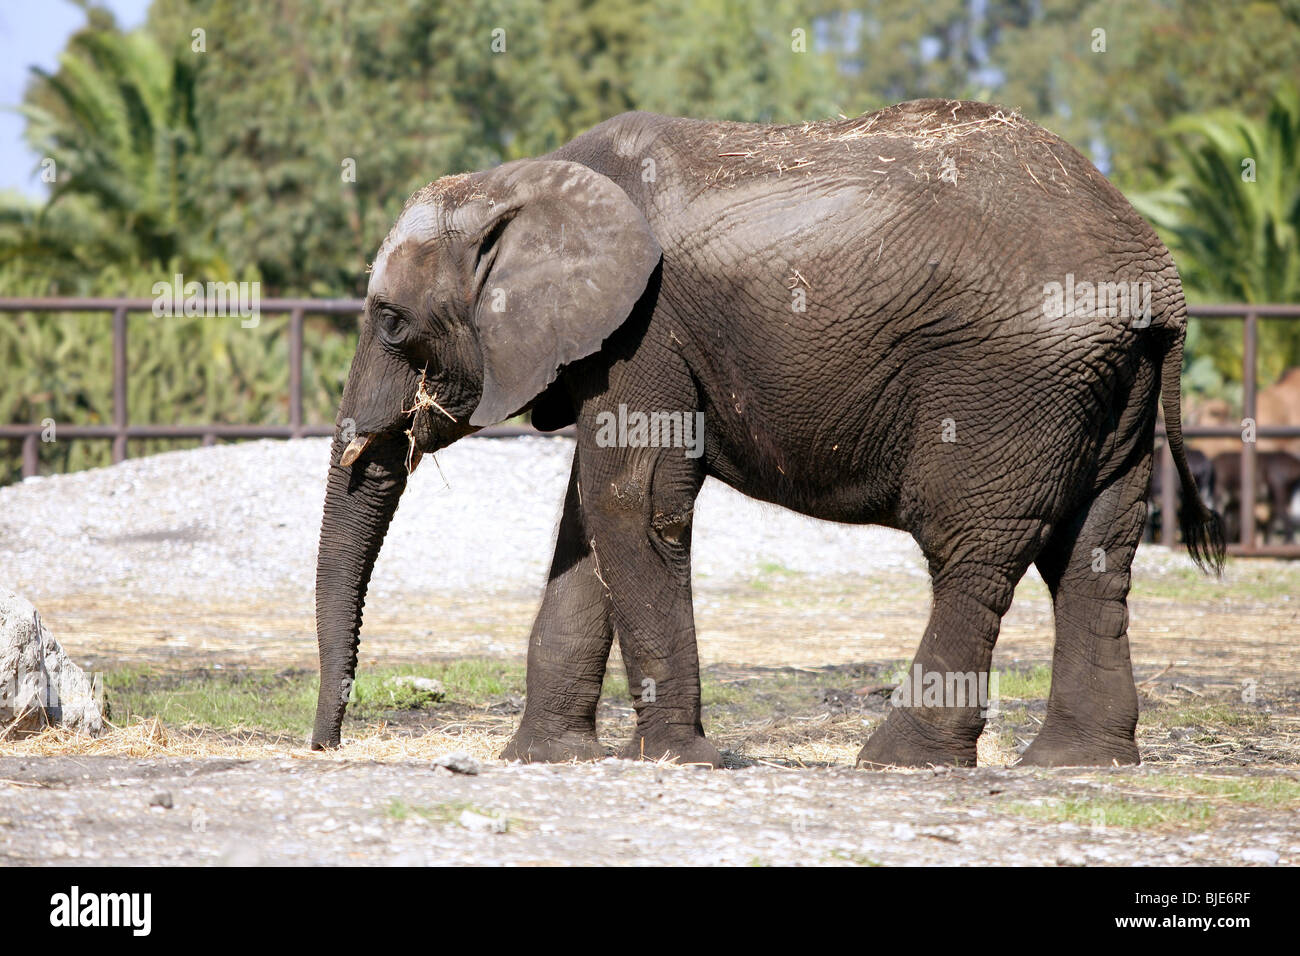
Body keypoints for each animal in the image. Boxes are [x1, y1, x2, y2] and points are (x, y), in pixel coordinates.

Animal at [310, 99, 1224, 769]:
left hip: (1009, 381)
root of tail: (1160, 276)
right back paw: (1079, 763)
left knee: (974, 550)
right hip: (1109, 391)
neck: (519, 182)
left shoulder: (644, 328)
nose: (326, 747)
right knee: (1094, 554)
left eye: (389, 322)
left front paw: (680, 761)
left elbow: (629, 501)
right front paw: (543, 760)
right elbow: (588, 520)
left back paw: (897, 762)